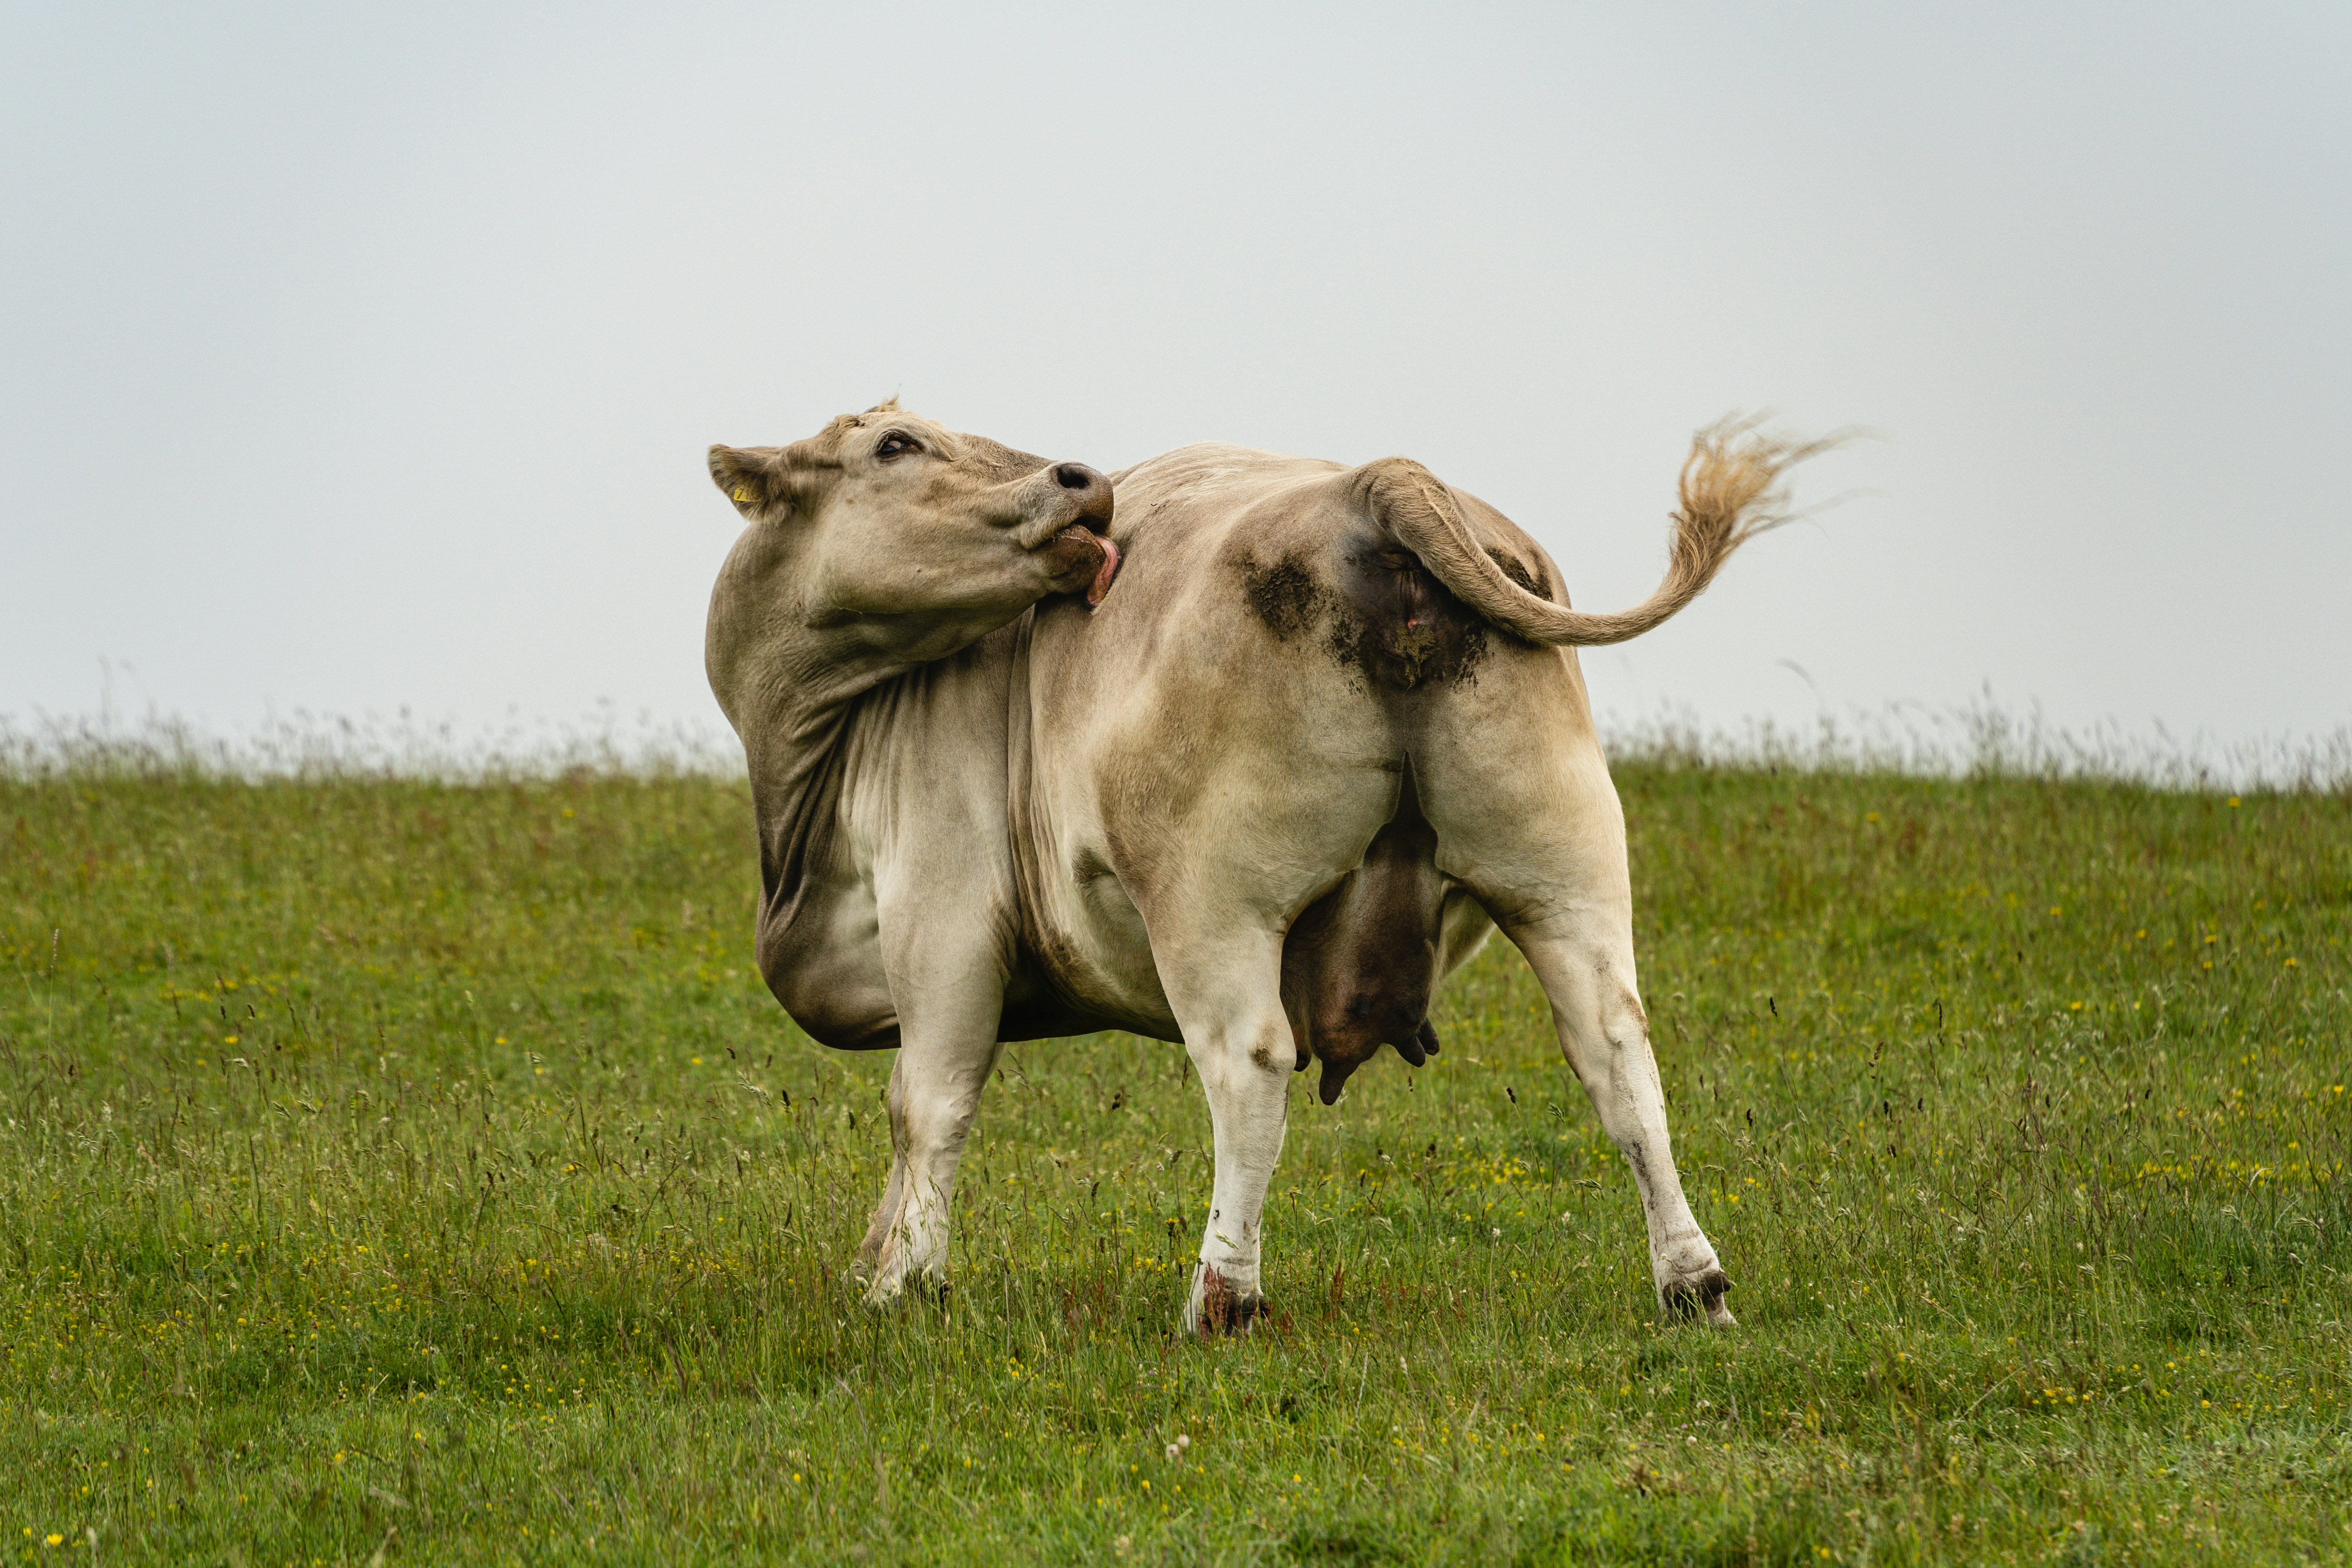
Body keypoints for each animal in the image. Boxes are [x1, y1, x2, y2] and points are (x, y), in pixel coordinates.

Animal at [704, 399, 1811, 1332]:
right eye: (895, 444)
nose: (1080, 477)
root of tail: (1374, 481)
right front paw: (876, 1260)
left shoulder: (942, 918)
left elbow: (924, 1103)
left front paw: (903, 1281)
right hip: (1563, 863)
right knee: (1616, 1053)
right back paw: (1693, 1285)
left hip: (1209, 897)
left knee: (1248, 1065)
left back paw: (1221, 1299)